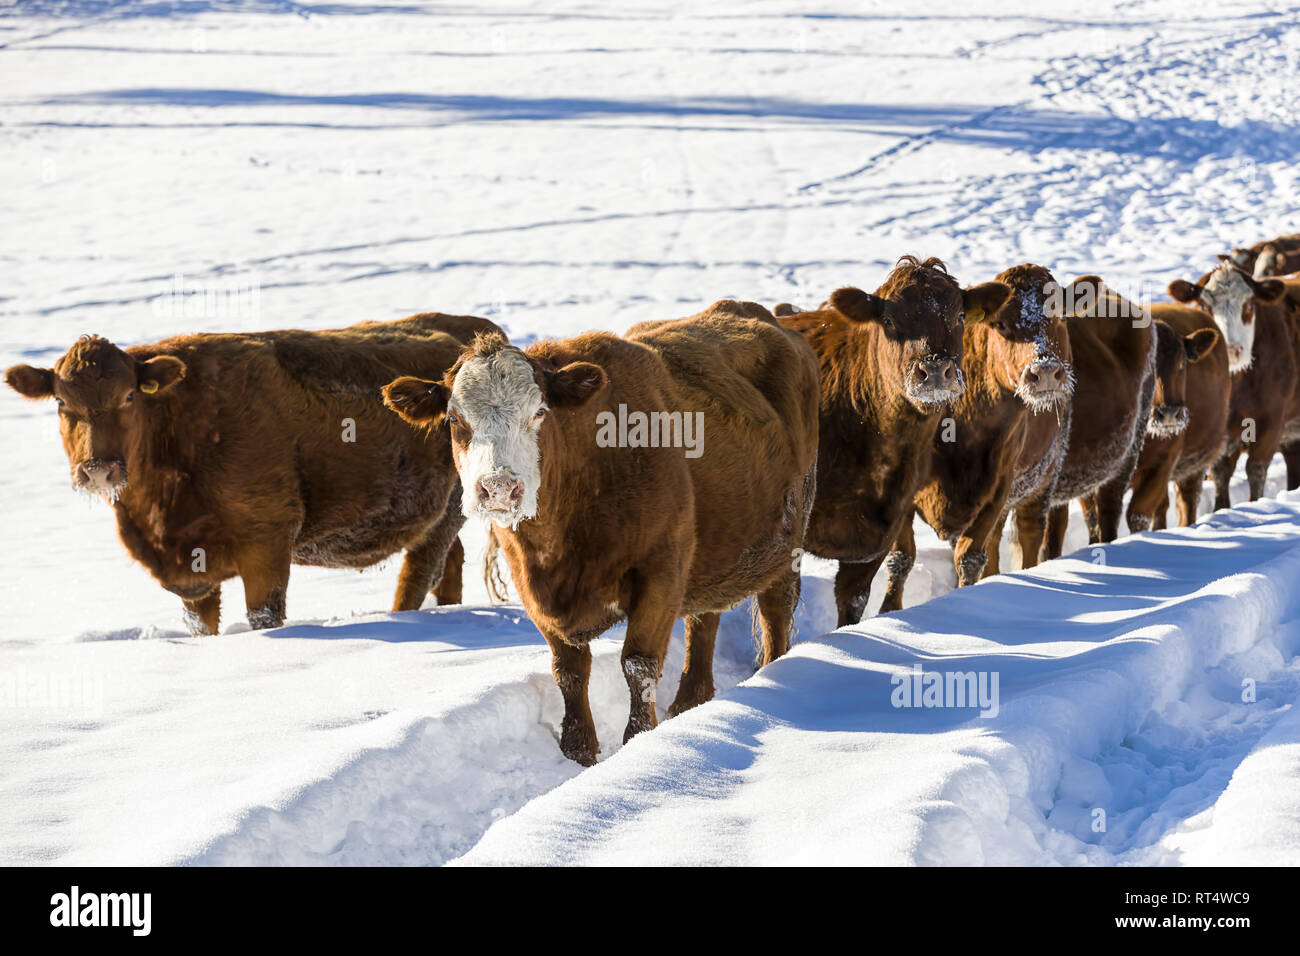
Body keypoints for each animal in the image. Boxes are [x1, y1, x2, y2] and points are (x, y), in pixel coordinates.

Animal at [4, 313, 495, 635]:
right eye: (62, 402)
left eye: (128, 396)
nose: (99, 469)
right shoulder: (191, 576)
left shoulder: (267, 541)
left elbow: (264, 618)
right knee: (447, 568)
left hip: (448, 511)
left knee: (419, 574)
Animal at [382, 301, 819, 765]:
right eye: (453, 418)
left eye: (540, 412)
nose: (499, 487)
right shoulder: (532, 589)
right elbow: (570, 673)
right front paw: (578, 751)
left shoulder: (661, 571)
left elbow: (638, 665)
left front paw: (639, 741)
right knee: (703, 622)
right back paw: (690, 702)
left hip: (787, 541)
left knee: (775, 615)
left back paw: (771, 671)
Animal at [877, 264, 1073, 610]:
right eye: (1001, 324)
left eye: (1060, 317)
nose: (1046, 371)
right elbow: (901, 557)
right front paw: (887, 611)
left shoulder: (998, 487)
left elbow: (969, 556)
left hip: (1042, 482)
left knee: (1029, 533)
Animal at [1125, 317, 1222, 531]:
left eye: (1182, 363)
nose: (1169, 413)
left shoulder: (1161, 467)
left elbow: (1138, 514)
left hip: (1194, 467)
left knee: (1187, 502)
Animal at [1166, 262, 1297, 499]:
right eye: (1204, 307)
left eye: (1250, 306)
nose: (1231, 349)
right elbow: (1220, 474)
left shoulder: (1271, 423)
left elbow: (1256, 471)